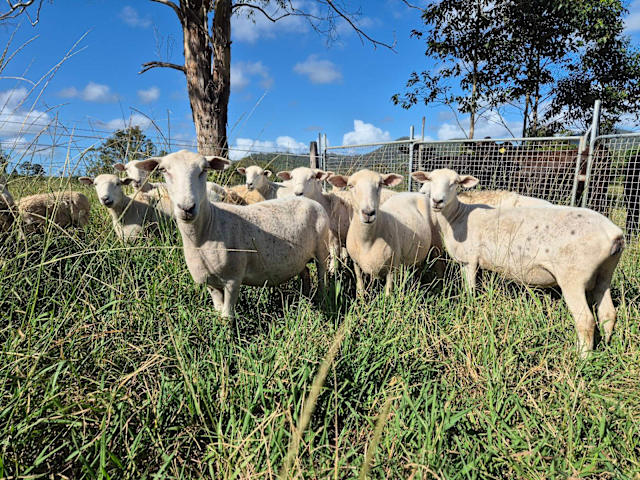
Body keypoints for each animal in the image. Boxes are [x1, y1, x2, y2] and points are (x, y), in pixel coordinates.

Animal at [136, 150, 335, 320]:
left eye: (204, 170)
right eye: (163, 170)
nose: (187, 208)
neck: (207, 229)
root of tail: (309, 200)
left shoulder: (232, 279)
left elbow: (227, 317)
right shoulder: (211, 283)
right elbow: (218, 313)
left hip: (322, 250)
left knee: (322, 276)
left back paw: (322, 299)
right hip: (299, 256)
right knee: (305, 273)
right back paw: (305, 298)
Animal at [412, 168, 624, 357]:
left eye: (455, 183)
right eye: (430, 179)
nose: (436, 201)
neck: (459, 216)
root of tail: (614, 234)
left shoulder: (469, 261)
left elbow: (470, 293)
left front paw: (469, 310)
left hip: (573, 278)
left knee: (586, 320)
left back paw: (582, 360)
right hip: (605, 274)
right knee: (608, 314)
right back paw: (606, 347)